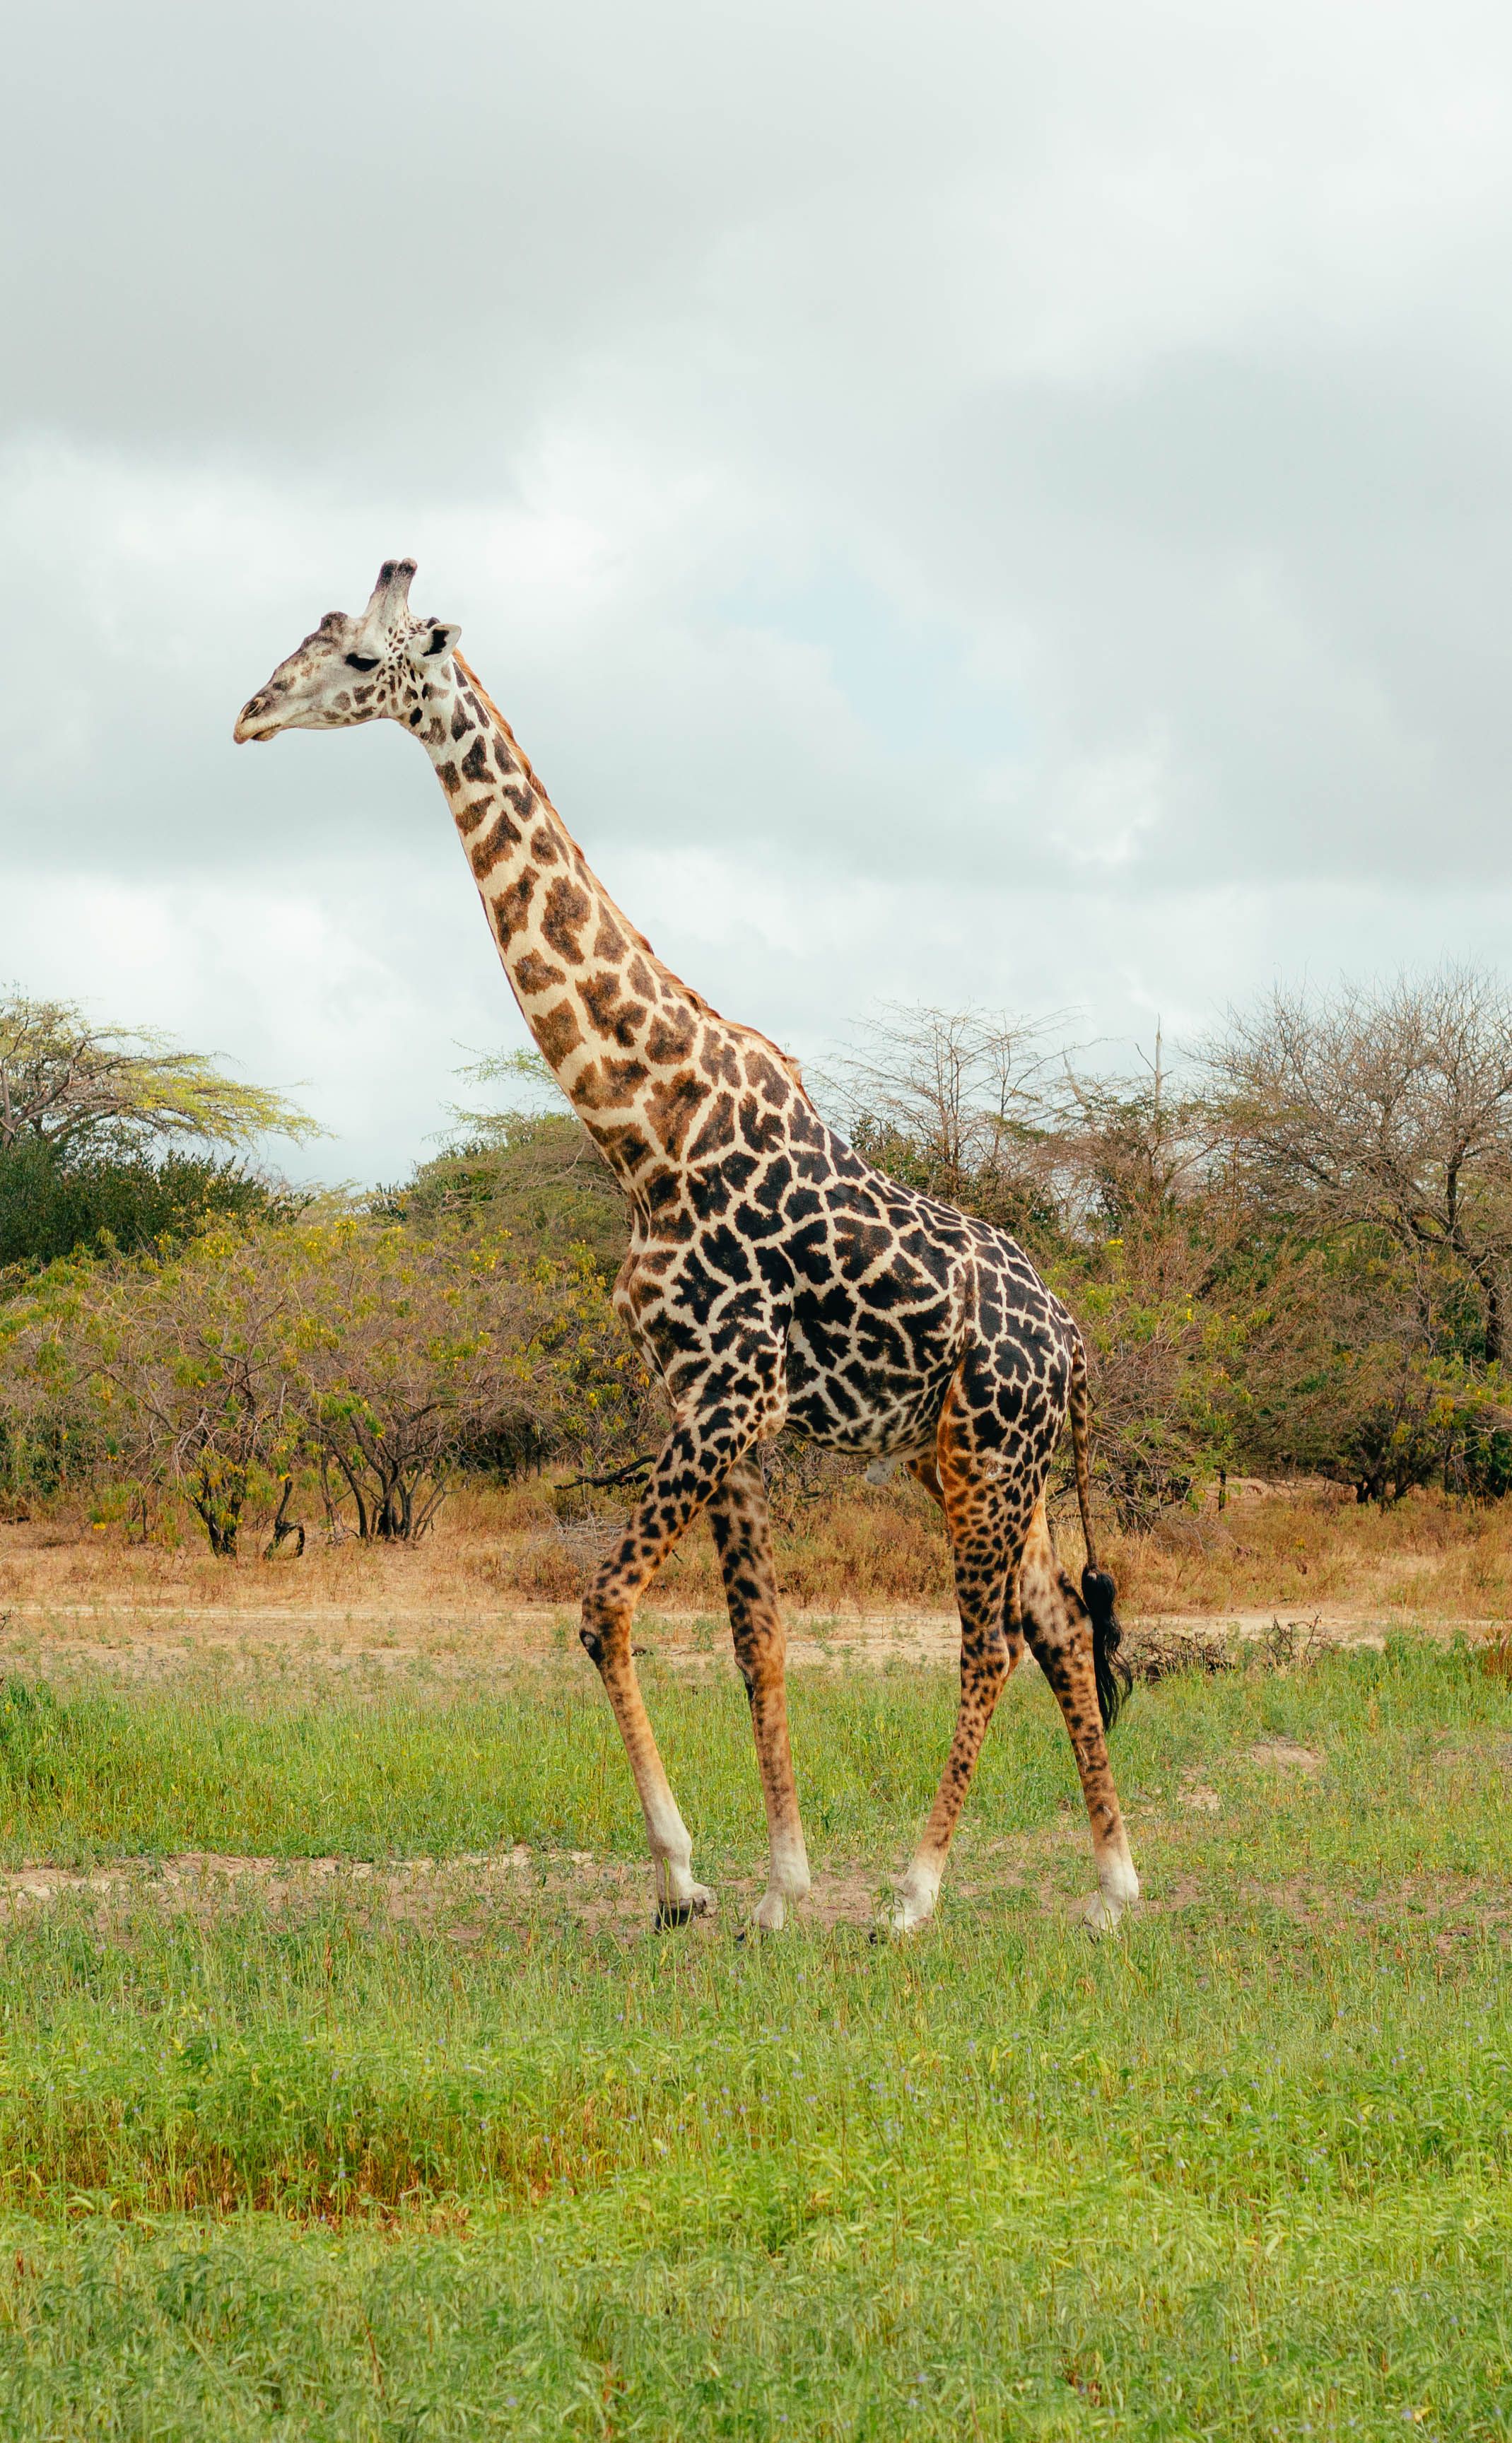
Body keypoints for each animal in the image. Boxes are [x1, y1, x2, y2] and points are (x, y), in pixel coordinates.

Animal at [235, 558, 1139, 1938]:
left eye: (358, 660)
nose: (249, 714)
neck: (640, 1122)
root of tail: (1076, 1344)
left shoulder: (726, 1394)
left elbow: (603, 1607)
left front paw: (683, 1878)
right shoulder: (708, 1403)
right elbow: (754, 1636)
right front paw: (775, 1886)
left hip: (989, 1456)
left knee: (986, 1638)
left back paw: (915, 1895)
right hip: (979, 1460)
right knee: (1051, 1626)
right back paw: (1110, 1885)